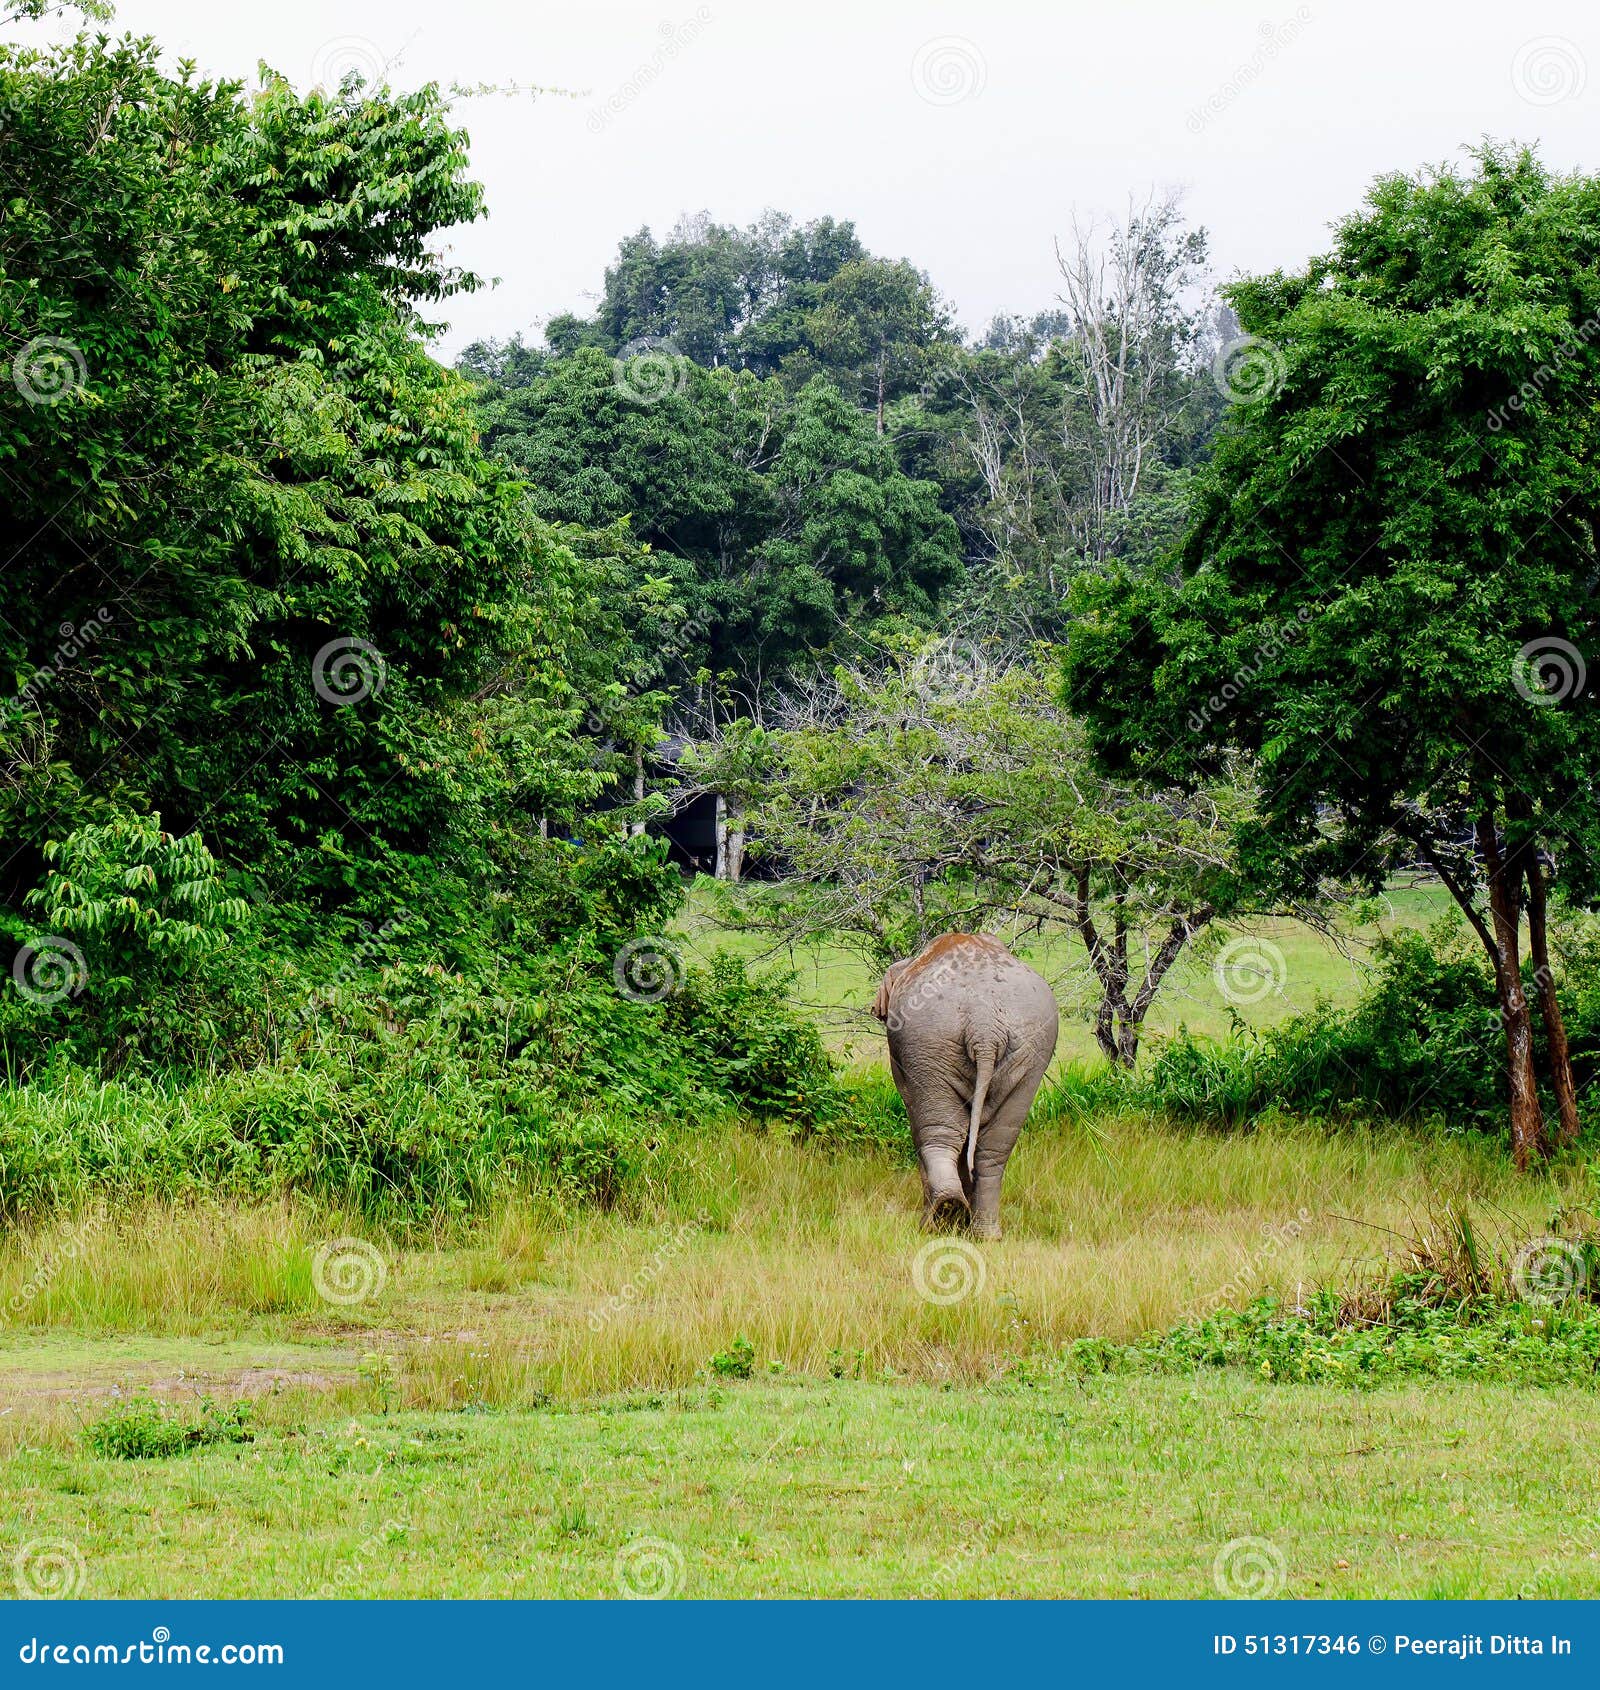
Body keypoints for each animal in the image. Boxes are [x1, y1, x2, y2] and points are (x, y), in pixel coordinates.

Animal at [871, 933, 1059, 1240]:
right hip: (1029, 1049)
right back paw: (983, 1233)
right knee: (994, 1148)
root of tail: (985, 1024)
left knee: (939, 1132)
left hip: (930, 1043)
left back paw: (939, 1218)